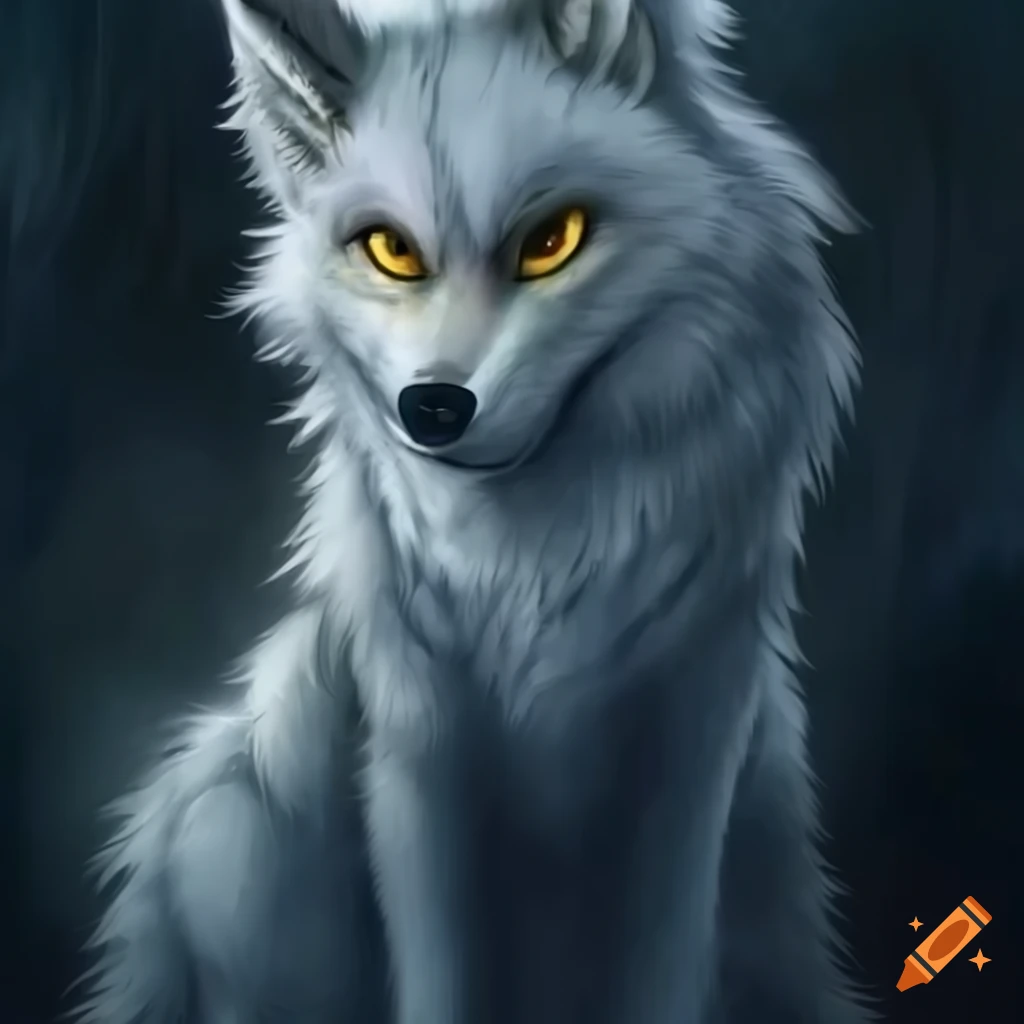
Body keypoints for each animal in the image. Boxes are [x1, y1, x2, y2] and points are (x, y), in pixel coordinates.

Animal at [74, 1, 870, 1022]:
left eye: (552, 240)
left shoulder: (691, 725)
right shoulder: (421, 742)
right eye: (391, 250)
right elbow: (444, 971)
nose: (434, 409)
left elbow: (659, 961)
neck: (534, 572)